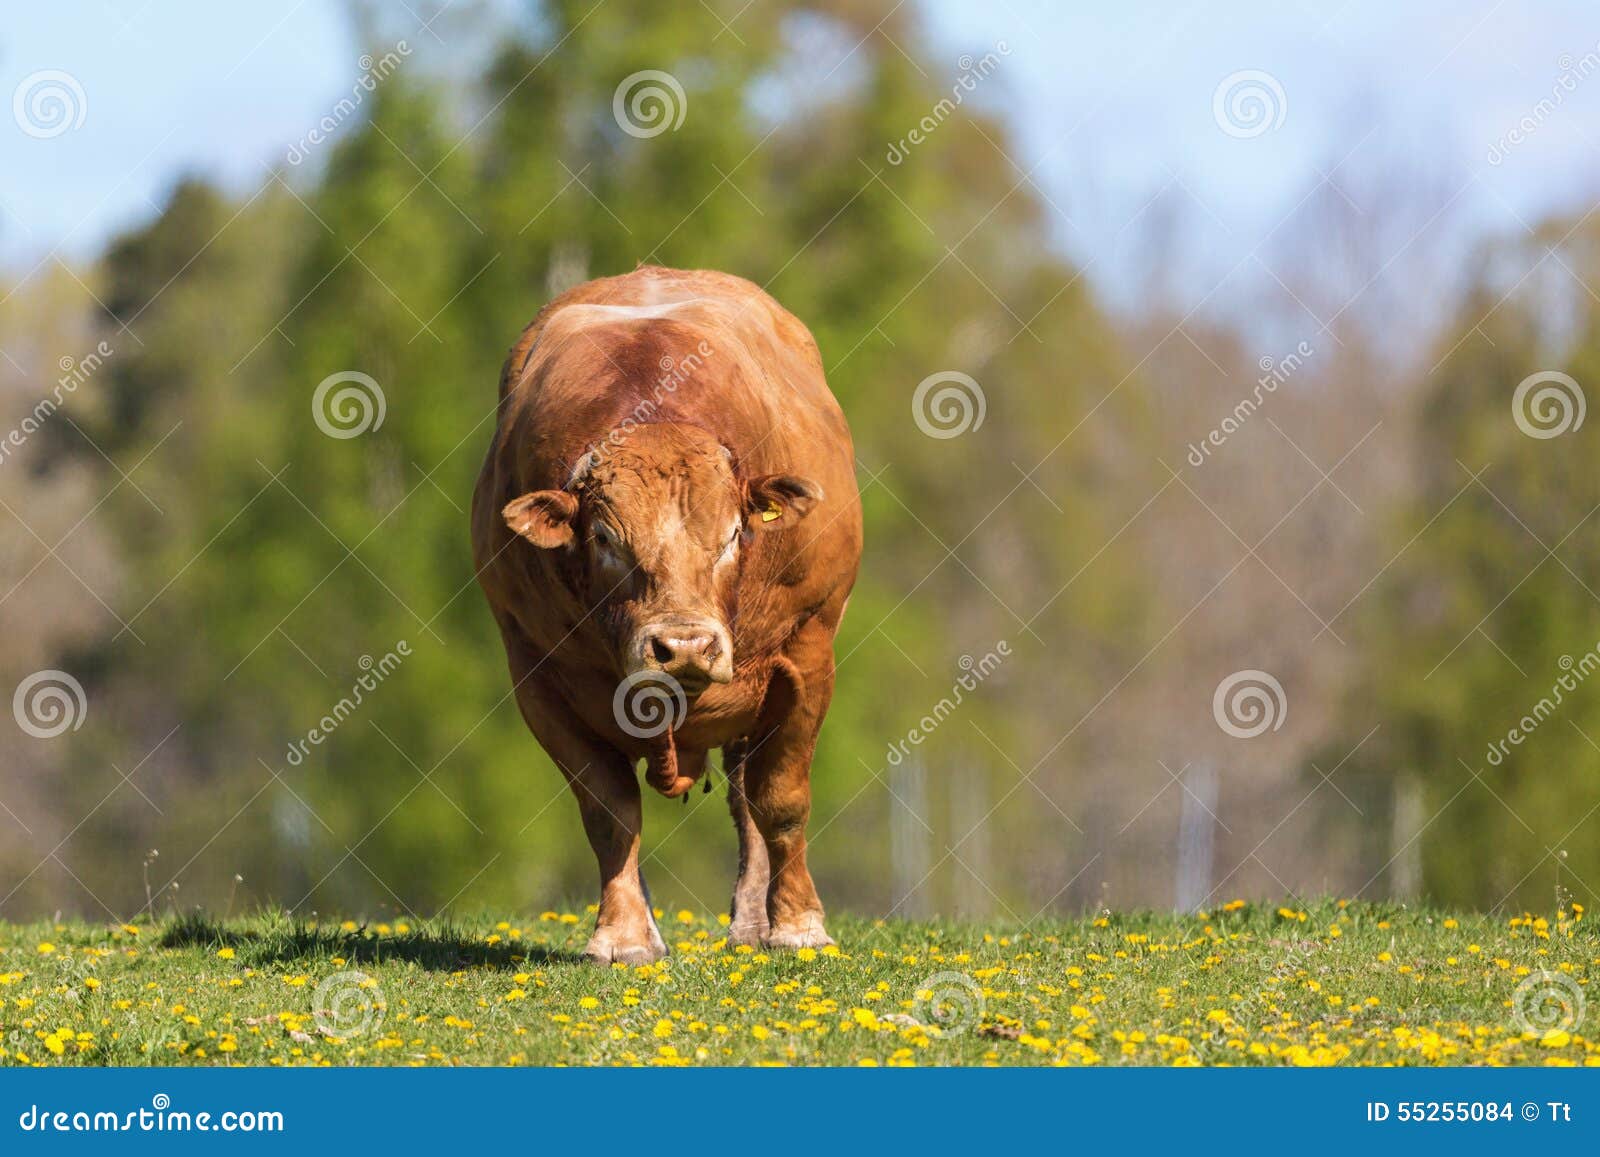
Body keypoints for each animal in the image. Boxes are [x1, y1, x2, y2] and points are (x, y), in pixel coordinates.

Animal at [471, 266, 862, 964]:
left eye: (733, 534)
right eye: (605, 538)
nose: (682, 647)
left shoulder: (808, 649)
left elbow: (782, 800)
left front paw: (799, 925)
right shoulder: (537, 676)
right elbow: (609, 810)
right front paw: (625, 936)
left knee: (747, 797)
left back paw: (753, 923)